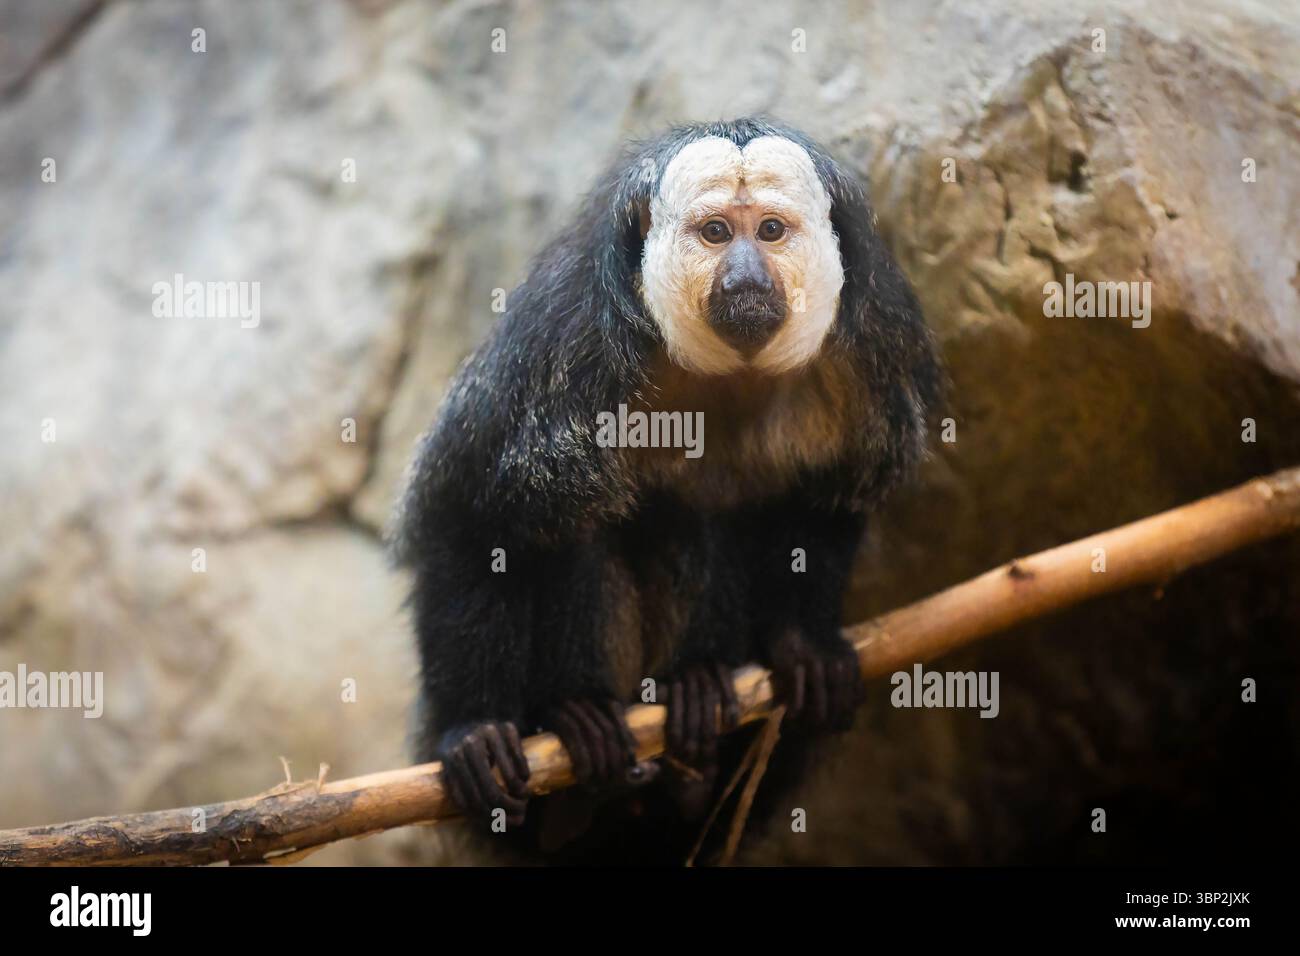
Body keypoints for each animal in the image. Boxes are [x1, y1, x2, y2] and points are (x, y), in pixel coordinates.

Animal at [389, 117, 941, 857]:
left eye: (770, 230)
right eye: (716, 233)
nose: (745, 275)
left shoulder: (871, 352)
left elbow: (826, 503)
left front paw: (804, 646)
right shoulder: (559, 349)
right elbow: (469, 518)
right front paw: (473, 729)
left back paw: (696, 730)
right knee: (584, 526)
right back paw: (582, 736)